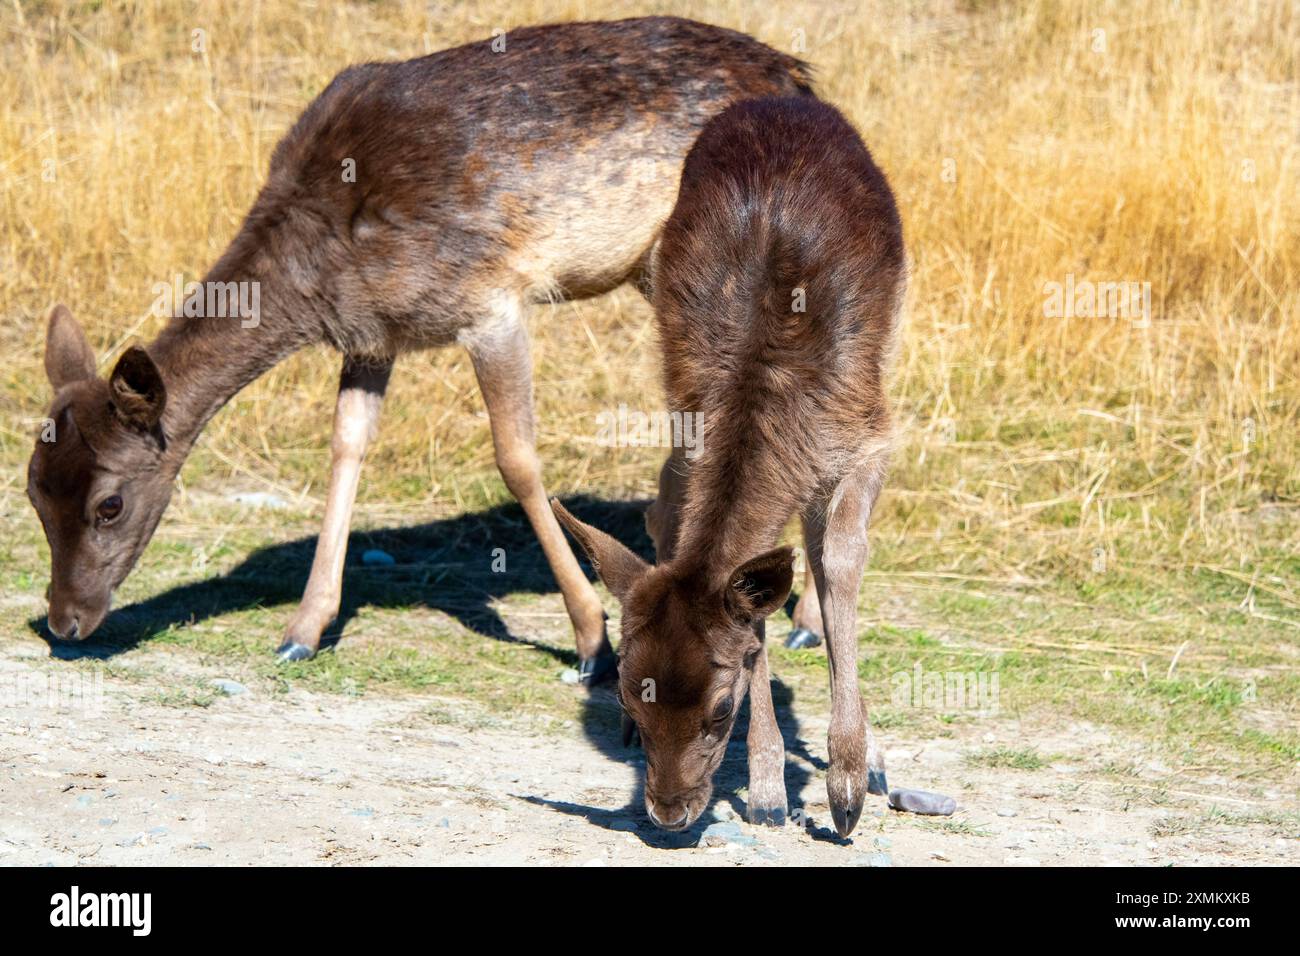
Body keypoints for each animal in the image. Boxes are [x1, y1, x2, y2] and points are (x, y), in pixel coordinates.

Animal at [26, 17, 816, 683]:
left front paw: (592, 639)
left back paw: (799, 616)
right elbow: (346, 444)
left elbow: (516, 459)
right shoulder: (374, 332)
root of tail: (800, 76)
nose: (66, 622)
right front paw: (301, 630)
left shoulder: (489, 299)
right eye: (32, 490)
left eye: (109, 505)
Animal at [551, 95, 905, 837]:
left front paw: (847, 787)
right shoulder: (691, 418)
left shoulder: (867, 436)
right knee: (670, 505)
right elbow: (745, 588)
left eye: (719, 709)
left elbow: (841, 560)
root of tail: (780, 100)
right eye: (630, 700)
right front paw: (770, 791)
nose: (667, 812)